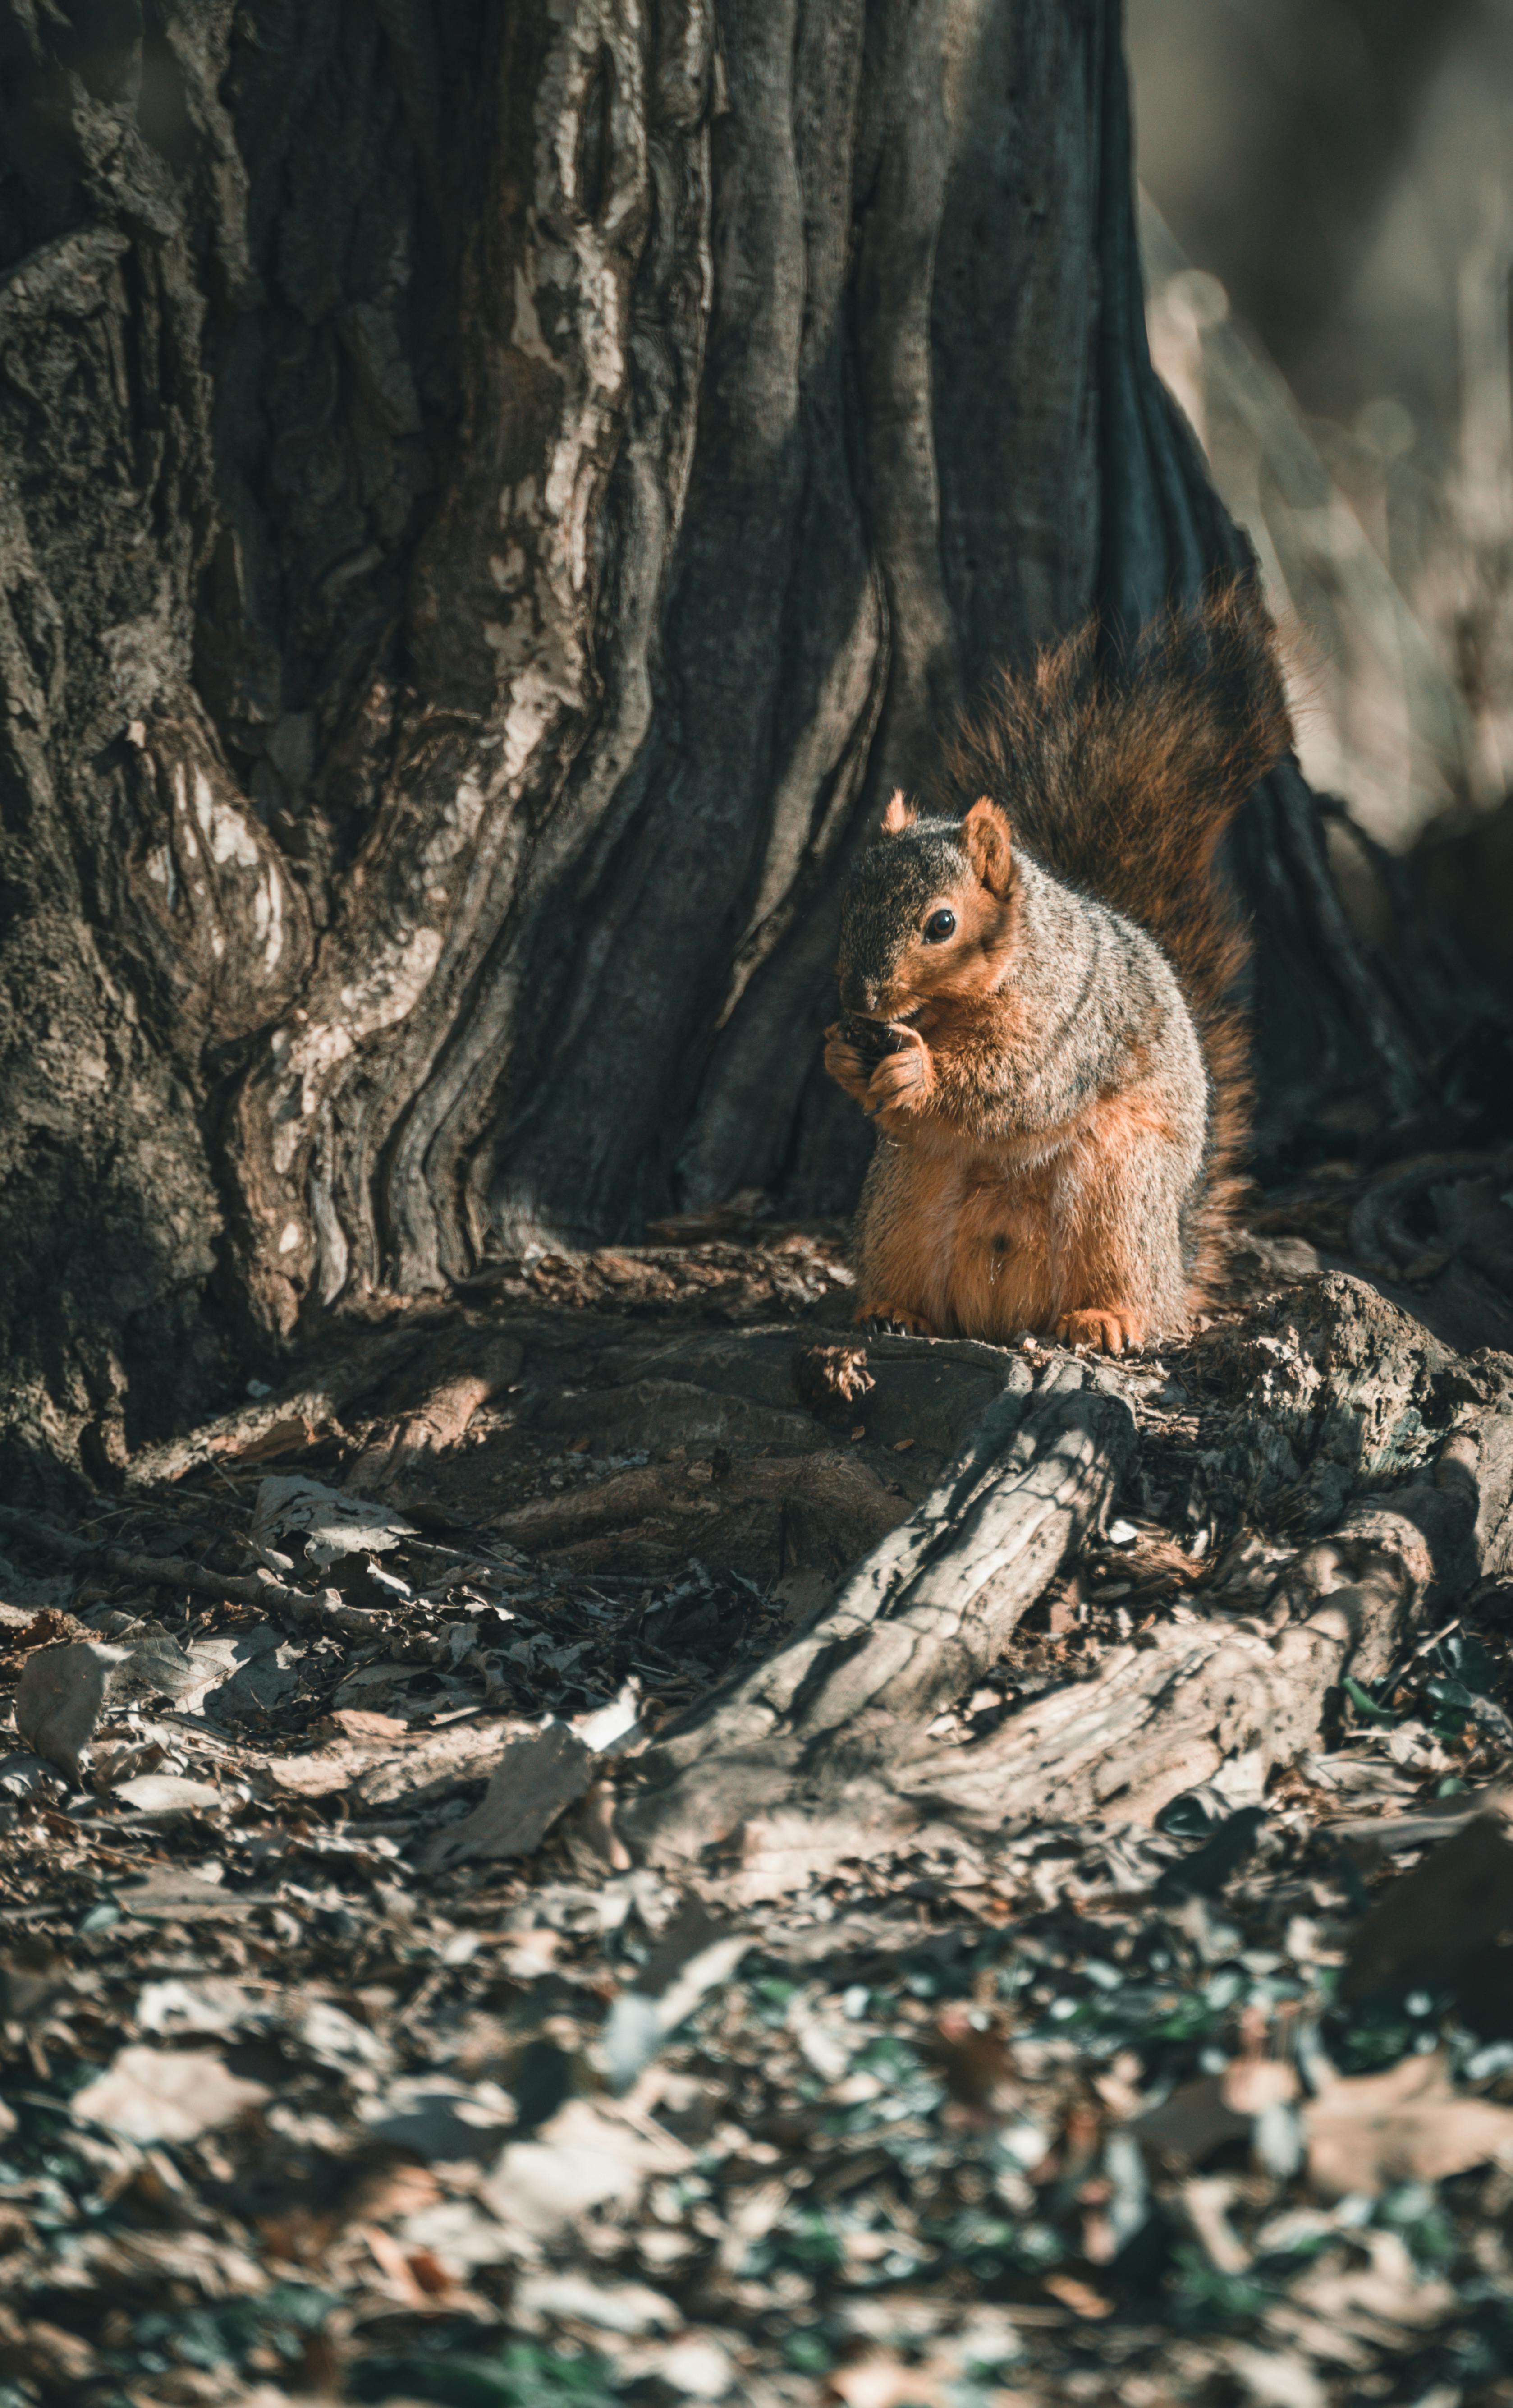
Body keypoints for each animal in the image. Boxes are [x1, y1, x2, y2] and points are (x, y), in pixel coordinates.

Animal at [823, 581, 1292, 1355]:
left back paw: (1107, 1319)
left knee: (1125, 1287)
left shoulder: (1071, 1032)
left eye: (942, 925)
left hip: (1117, 1195)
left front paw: (919, 1070)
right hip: (903, 1195)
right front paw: (841, 1055)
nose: (859, 1000)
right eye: (849, 899)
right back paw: (894, 1312)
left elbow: (1014, 1082)